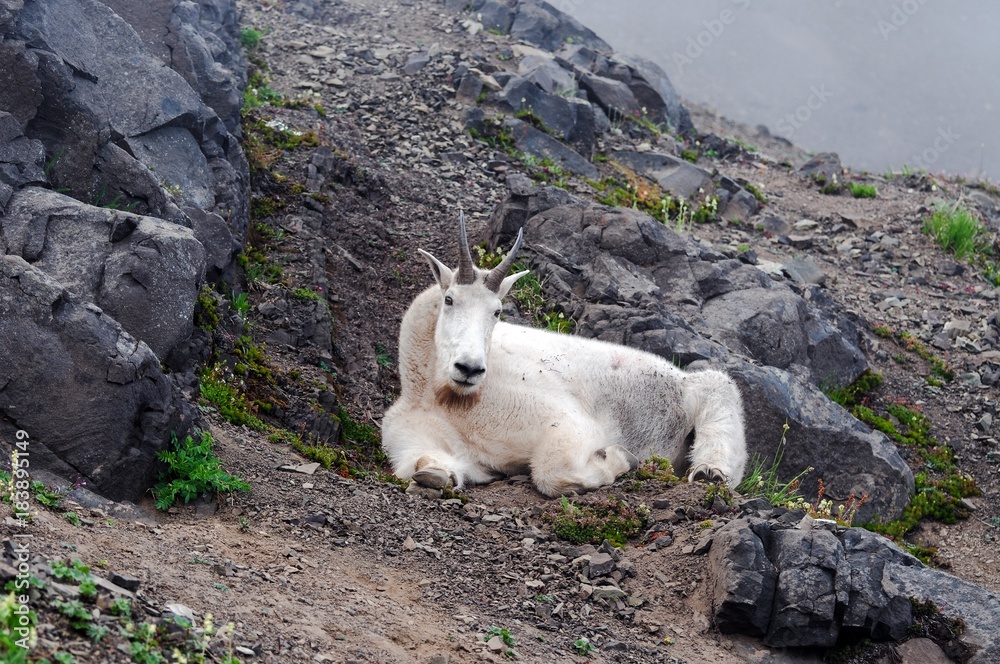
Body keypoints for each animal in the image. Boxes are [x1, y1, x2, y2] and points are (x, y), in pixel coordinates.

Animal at [381, 213, 747, 496]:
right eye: (449, 300)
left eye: (497, 311)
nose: (469, 368)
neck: (440, 396)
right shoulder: (419, 439)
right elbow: (424, 464)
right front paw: (434, 477)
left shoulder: (566, 423)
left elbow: (553, 472)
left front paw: (618, 457)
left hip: (696, 392)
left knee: (718, 392)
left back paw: (710, 471)